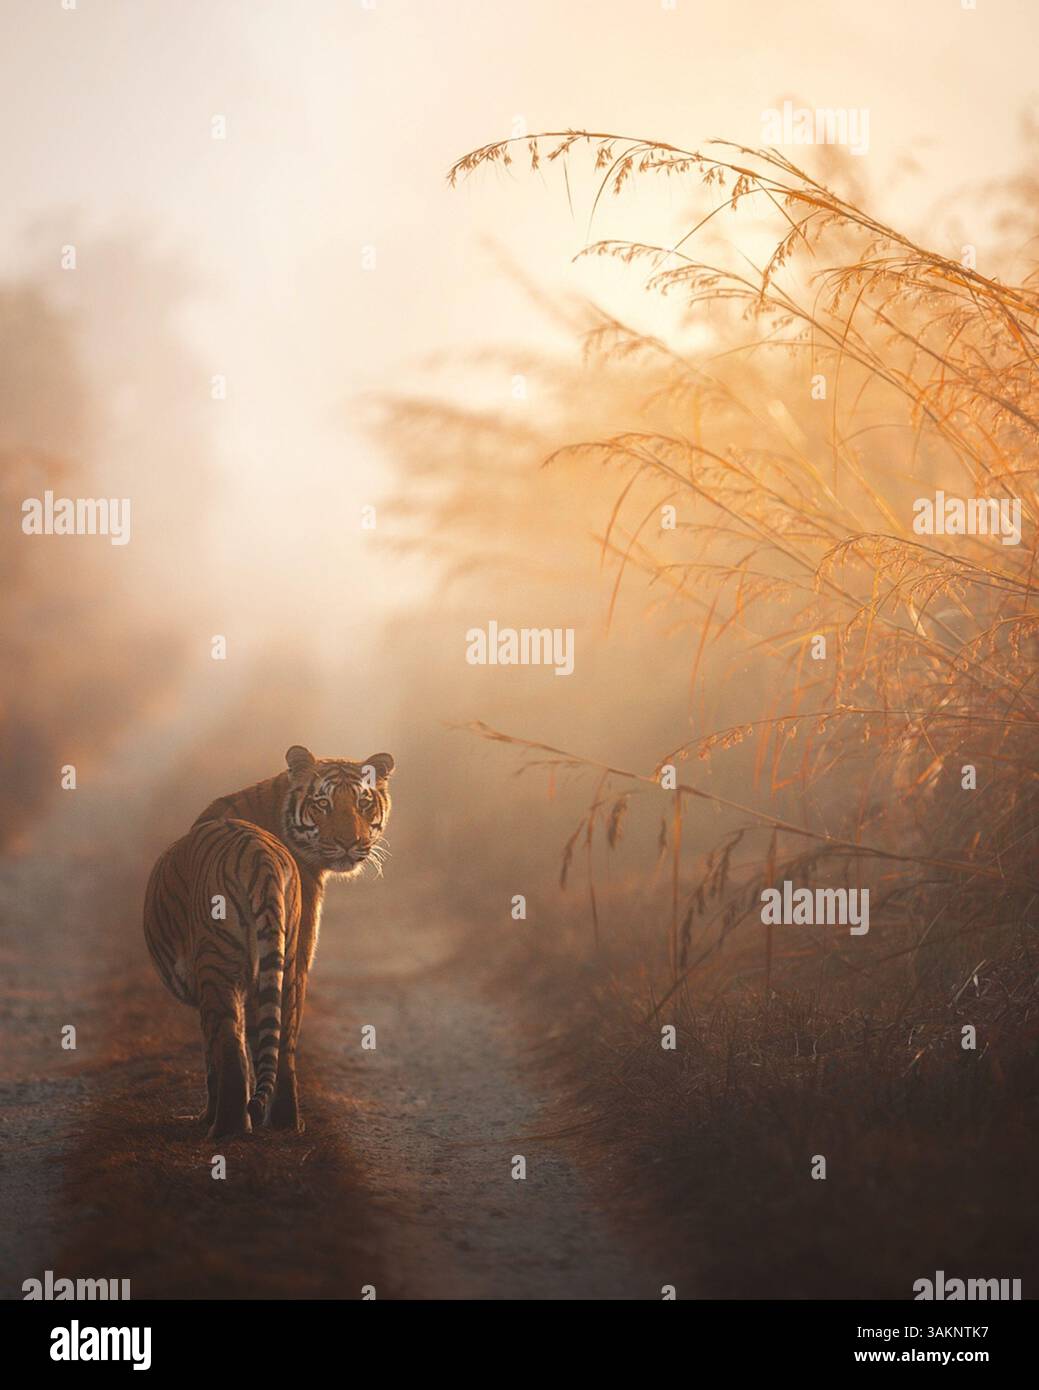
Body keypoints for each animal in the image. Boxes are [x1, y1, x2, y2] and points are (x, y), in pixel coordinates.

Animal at [143, 745, 394, 1139]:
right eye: (323, 804)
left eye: (363, 803)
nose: (348, 843)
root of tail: (257, 854)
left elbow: (216, 1051)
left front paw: (208, 1116)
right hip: (286, 956)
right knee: (285, 1041)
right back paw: (287, 1123)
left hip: (218, 964)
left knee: (229, 1048)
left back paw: (225, 1129)